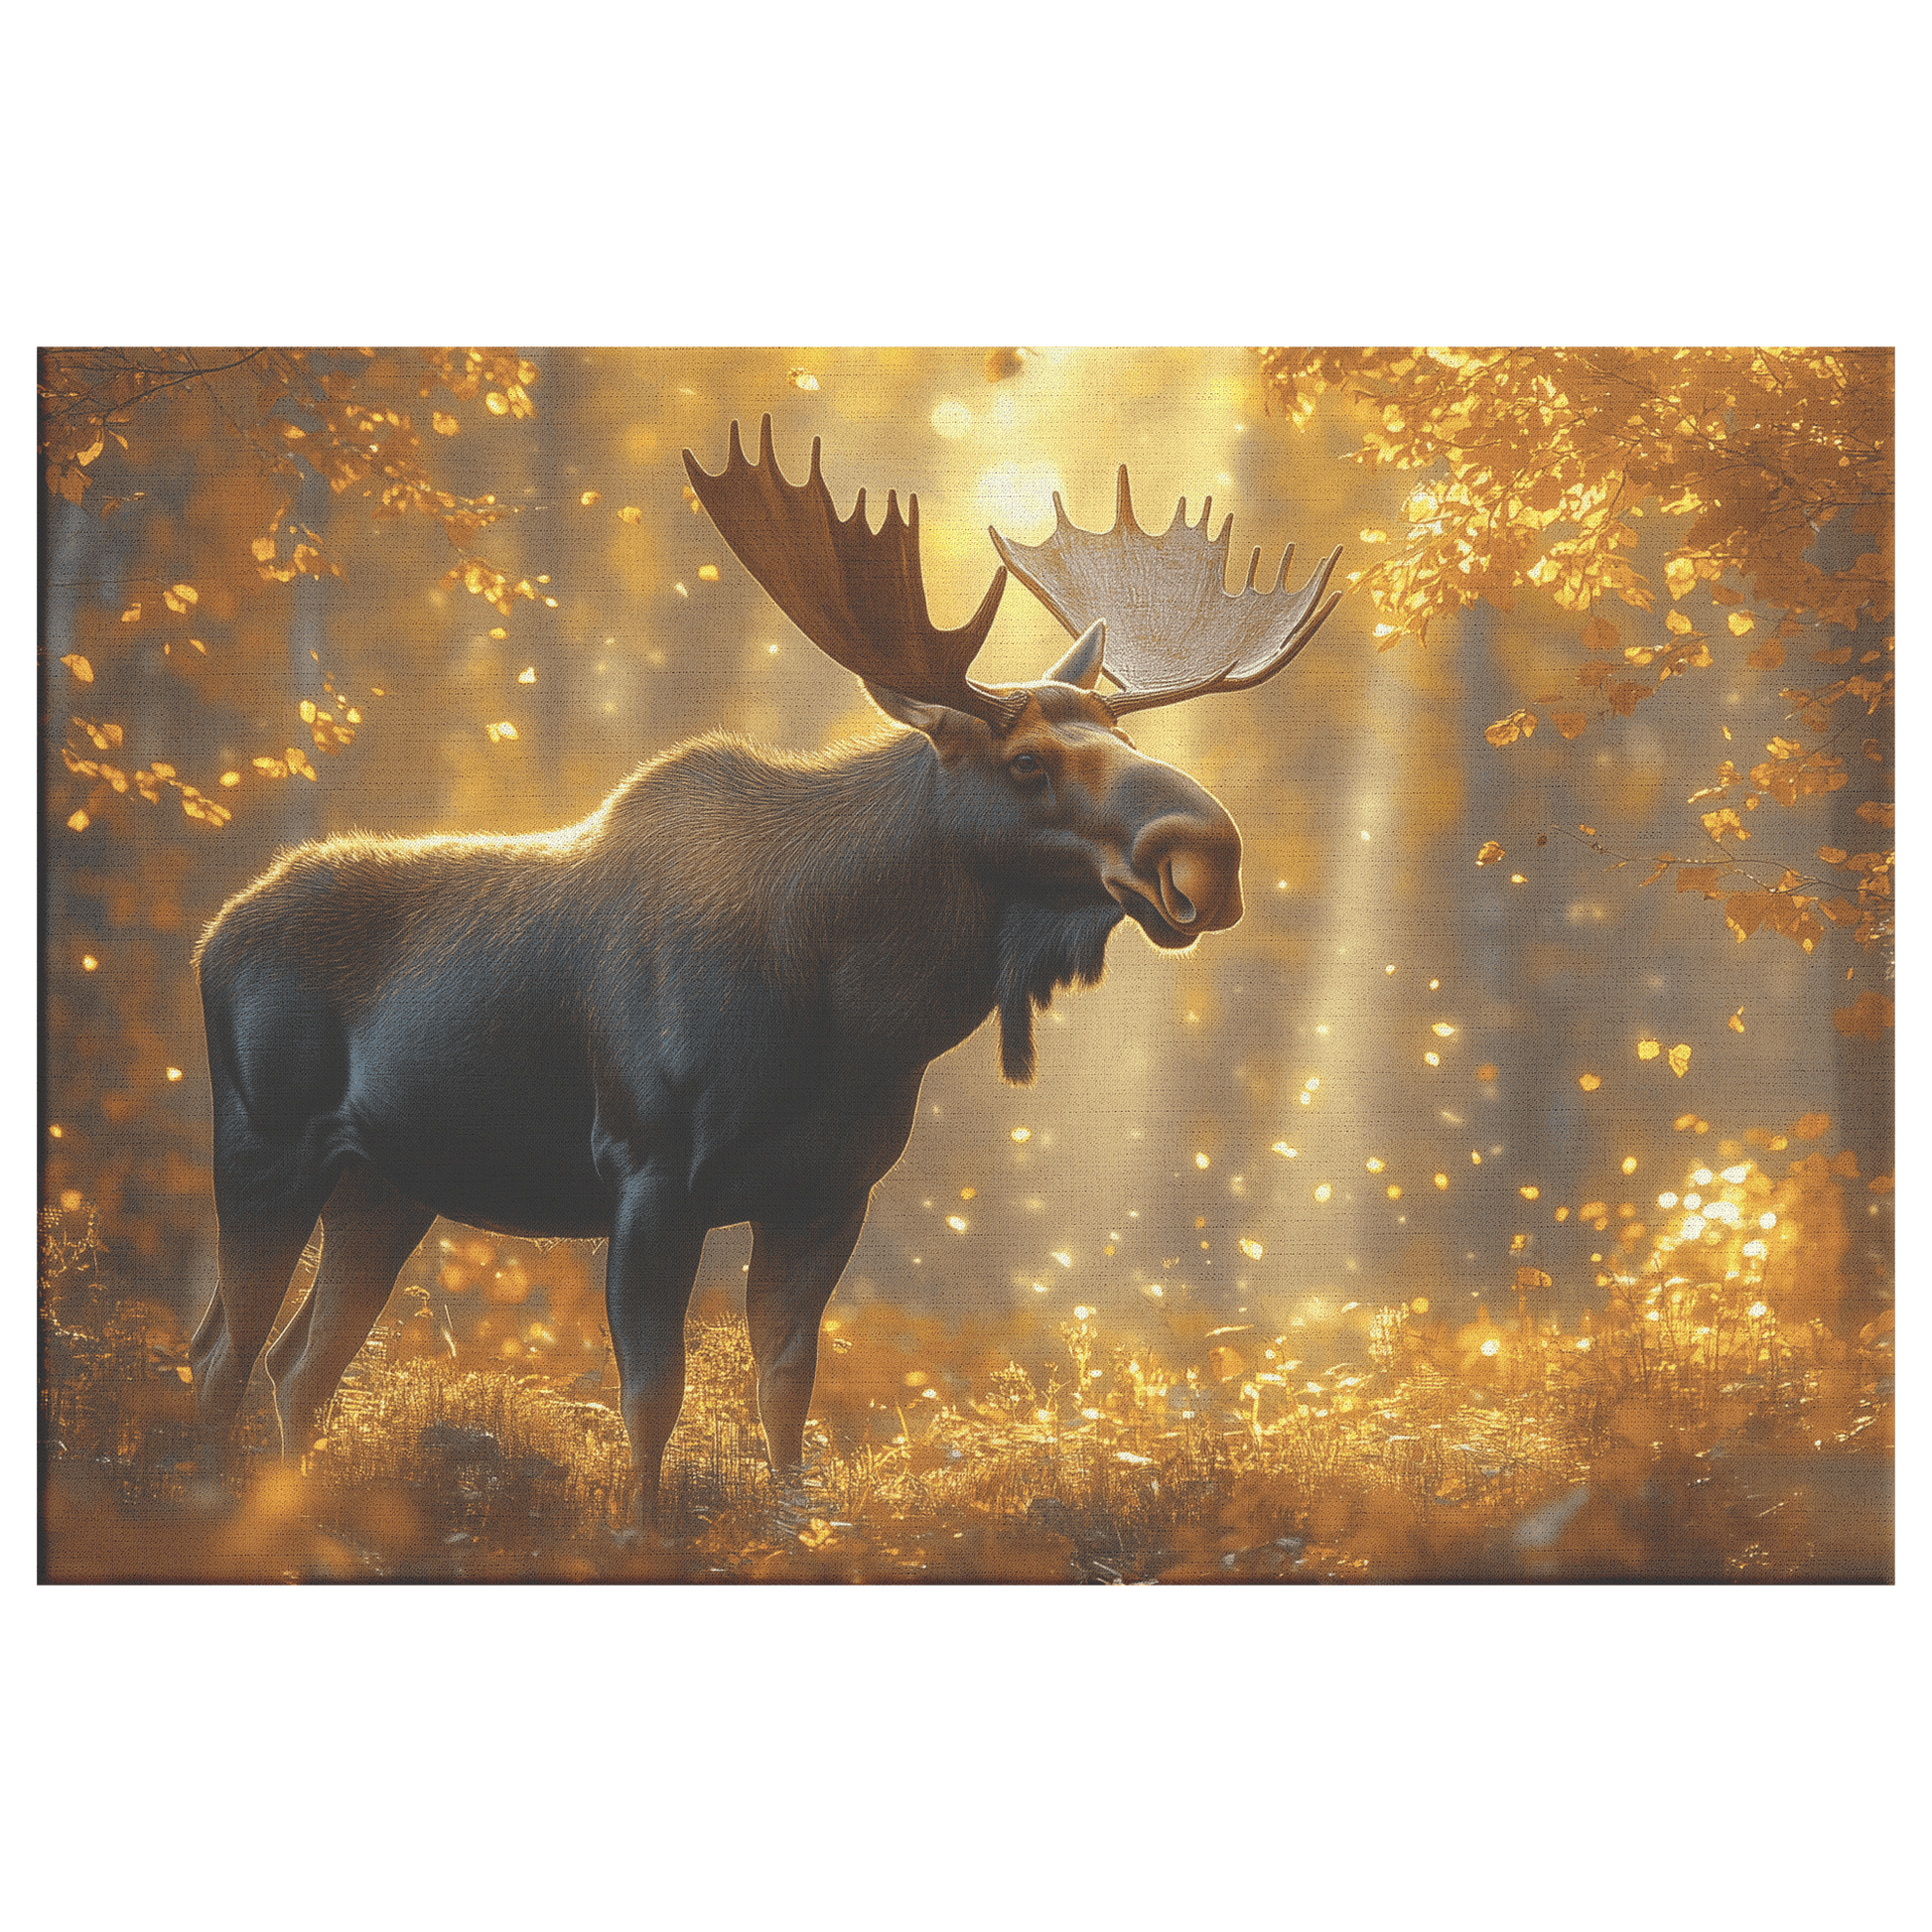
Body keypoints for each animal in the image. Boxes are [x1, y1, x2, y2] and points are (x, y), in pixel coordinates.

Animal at [187, 416, 1341, 1520]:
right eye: (1026, 760)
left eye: (1117, 732)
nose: (1209, 852)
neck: (856, 1012)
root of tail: (212, 936)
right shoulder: (646, 1166)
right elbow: (650, 1391)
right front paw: (642, 1530)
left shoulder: (828, 1188)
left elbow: (786, 1383)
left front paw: (792, 1522)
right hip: (265, 1141)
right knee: (224, 1350)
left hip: (386, 1182)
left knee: (298, 1363)